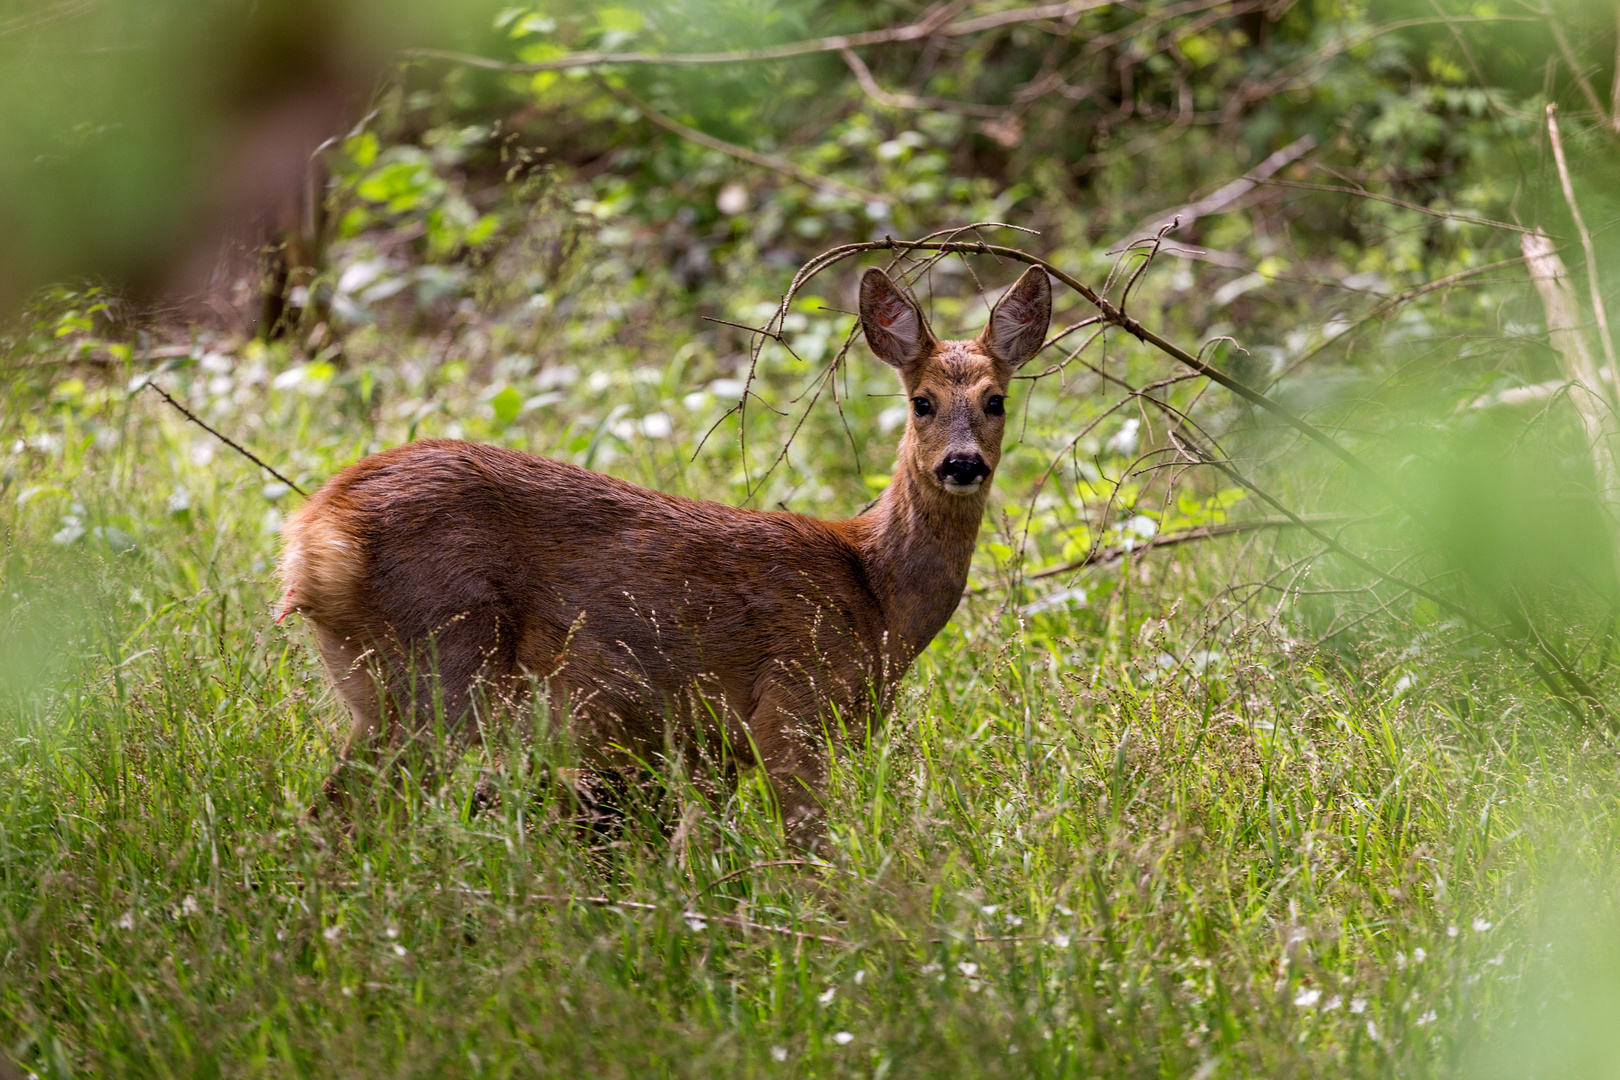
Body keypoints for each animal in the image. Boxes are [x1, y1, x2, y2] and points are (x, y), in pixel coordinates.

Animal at [276, 265, 1052, 842]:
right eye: (922, 401)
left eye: (996, 401)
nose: (961, 464)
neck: (877, 595)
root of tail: (313, 534)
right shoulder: (790, 707)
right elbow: (809, 851)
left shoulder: (712, 751)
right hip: (440, 663)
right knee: (336, 819)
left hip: (379, 688)